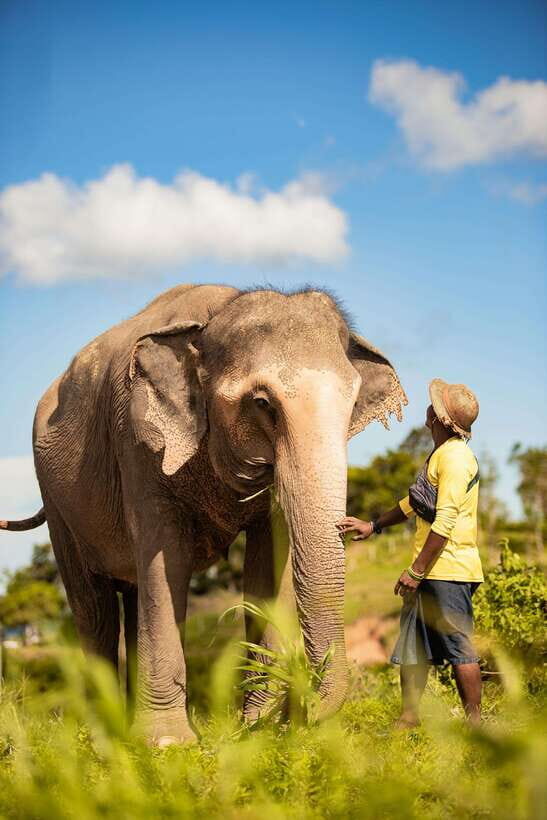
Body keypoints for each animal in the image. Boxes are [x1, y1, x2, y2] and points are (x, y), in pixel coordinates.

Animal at [1, 284, 406, 746]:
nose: (304, 716)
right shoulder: (136, 442)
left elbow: (266, 566)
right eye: (262, 403)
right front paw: (168, 745)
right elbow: (167, 559)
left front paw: (258, 728)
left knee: (134, 595)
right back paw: (103, 736)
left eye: (353, 403)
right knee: (93, 606)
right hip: (58, 502)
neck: (212, 319)